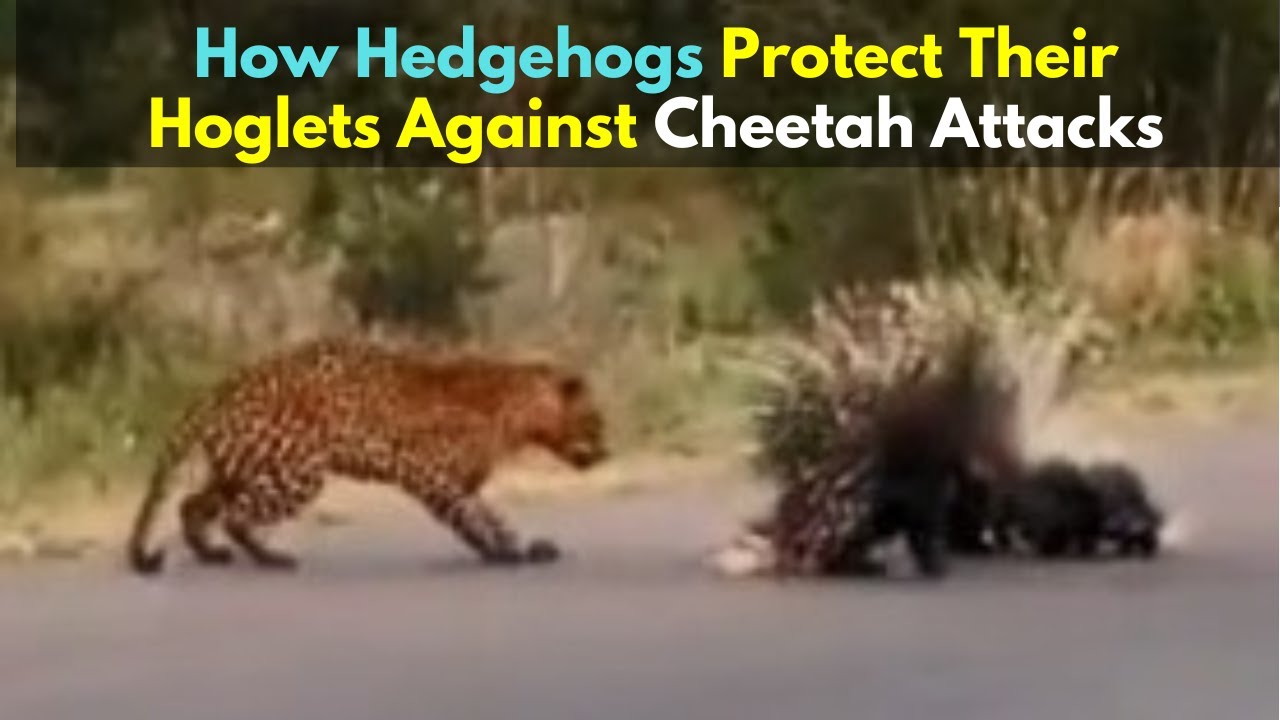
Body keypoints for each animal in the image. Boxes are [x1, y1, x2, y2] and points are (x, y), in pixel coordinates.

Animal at [126, 338, 607, 575]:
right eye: (595, 420)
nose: (607, 452)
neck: (520, 413)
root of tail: (219, 390)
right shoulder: (429, 475)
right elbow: (468, 518)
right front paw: (500, 556)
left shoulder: (463, 481)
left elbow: (494, 516)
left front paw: (519, 547)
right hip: (298, 471)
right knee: (234, 516)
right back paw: (272, 560)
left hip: (240, 468)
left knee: (191, 505)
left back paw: (211, 555)